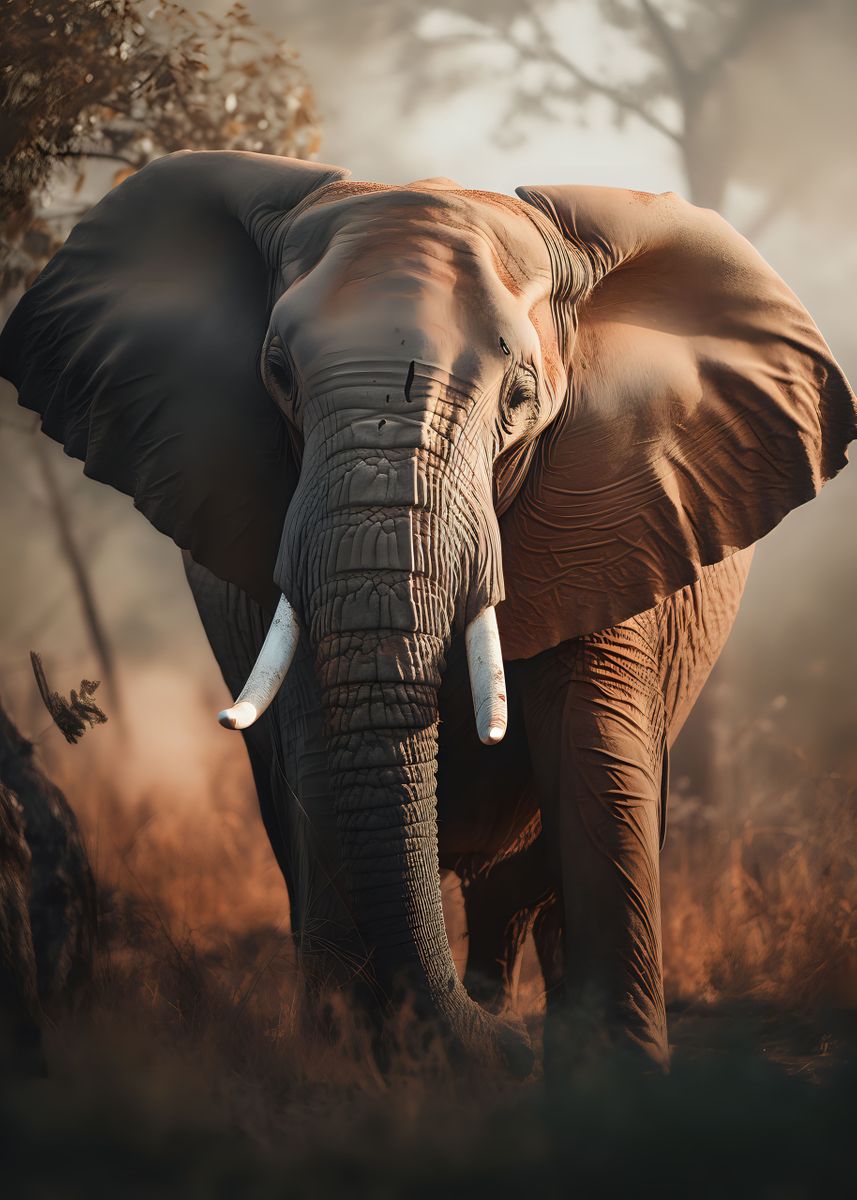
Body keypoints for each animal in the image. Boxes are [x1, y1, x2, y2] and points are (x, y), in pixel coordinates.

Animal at [1, 151, 854, 1074]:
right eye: (278, 375)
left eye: (519, 396)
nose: (505, 1047)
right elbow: (315, 749)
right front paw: (348, 1069)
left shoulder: (617, 506)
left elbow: (594, 751)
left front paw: (610, 1082)